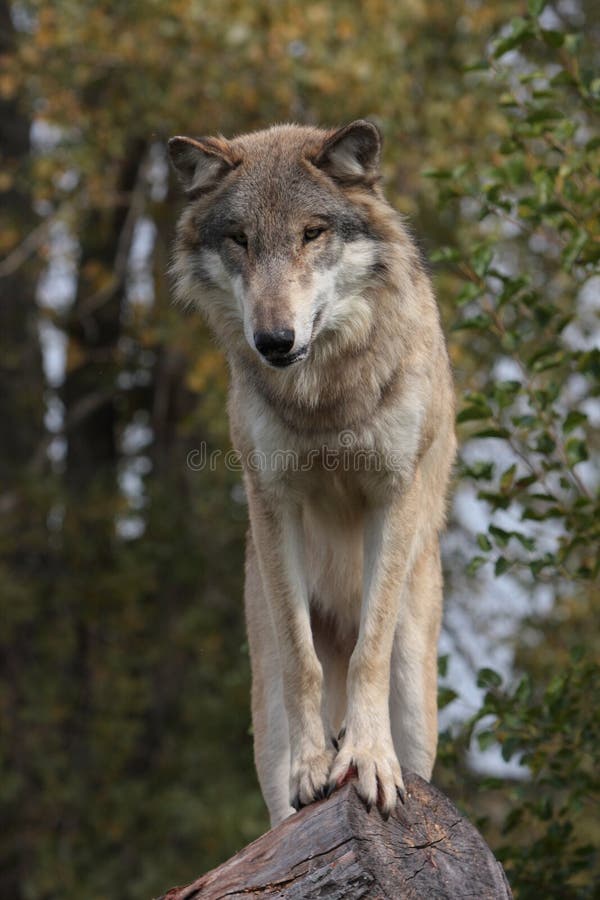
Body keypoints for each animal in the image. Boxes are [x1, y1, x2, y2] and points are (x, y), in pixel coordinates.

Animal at [168, 120, 456, 827]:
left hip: (418, 689)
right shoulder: (275, 502)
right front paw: (314, 767)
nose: (274, 341)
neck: (325, 398)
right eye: (241, 239)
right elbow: (305, 662)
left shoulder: (393, 494)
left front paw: (368, 760)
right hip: (263, 707)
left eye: (311, 233)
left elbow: (366, 652)